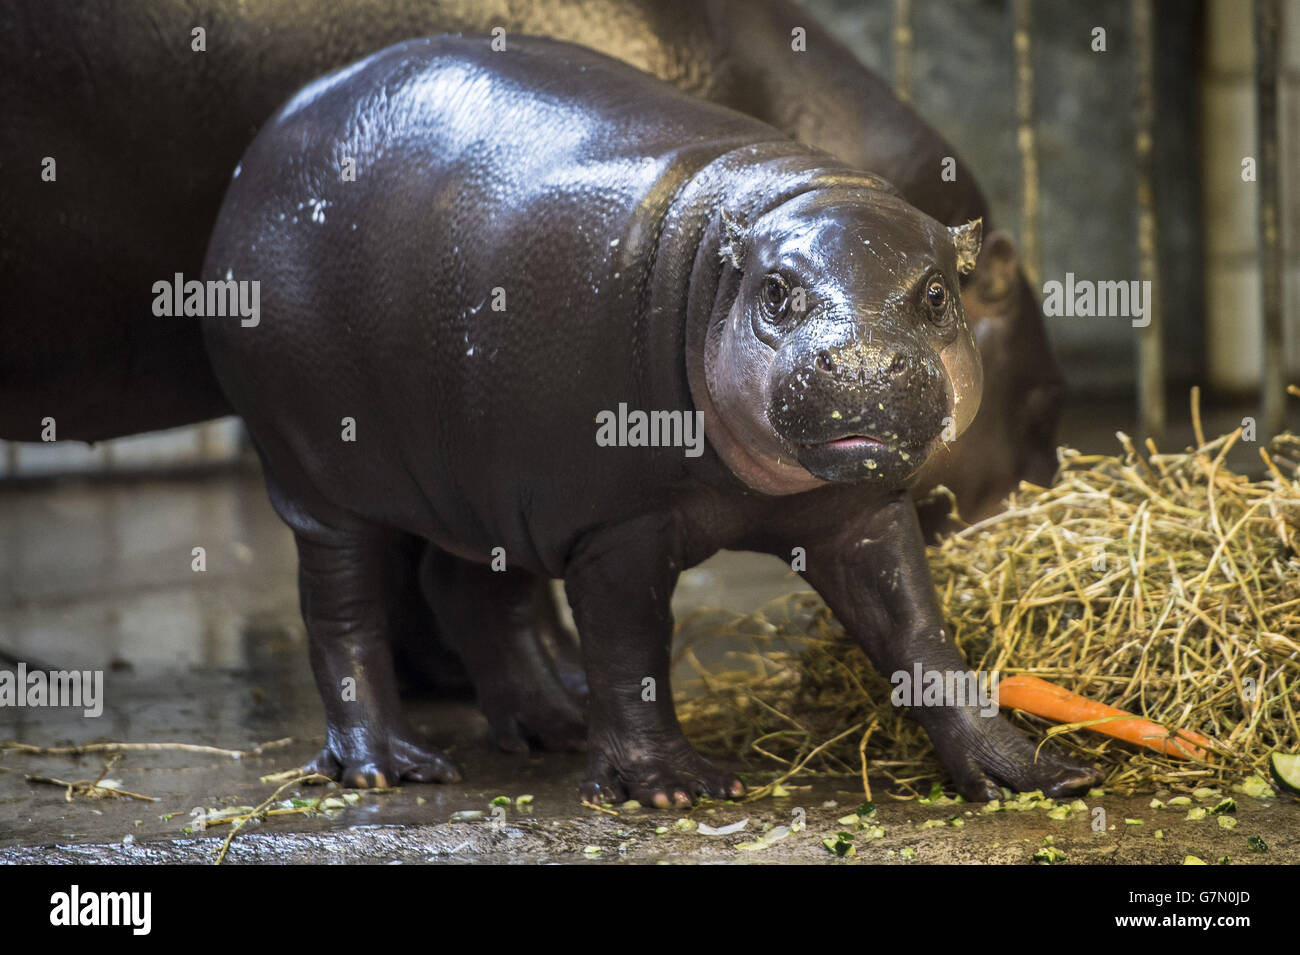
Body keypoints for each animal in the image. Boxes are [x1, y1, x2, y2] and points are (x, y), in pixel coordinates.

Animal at [202, 35, 1098, 804]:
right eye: (776, 291)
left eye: (937, 293)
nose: (867, 364)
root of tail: (268, 142)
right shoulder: (616, 525)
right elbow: (632, 648)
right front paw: (672, 787)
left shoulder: (861, 509)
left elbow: (919, 633)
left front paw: (1033, 771)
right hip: (317, 473)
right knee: (342, 607)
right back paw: (391, 764)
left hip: (486, 476)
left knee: (476, 593)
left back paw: (555, 727)